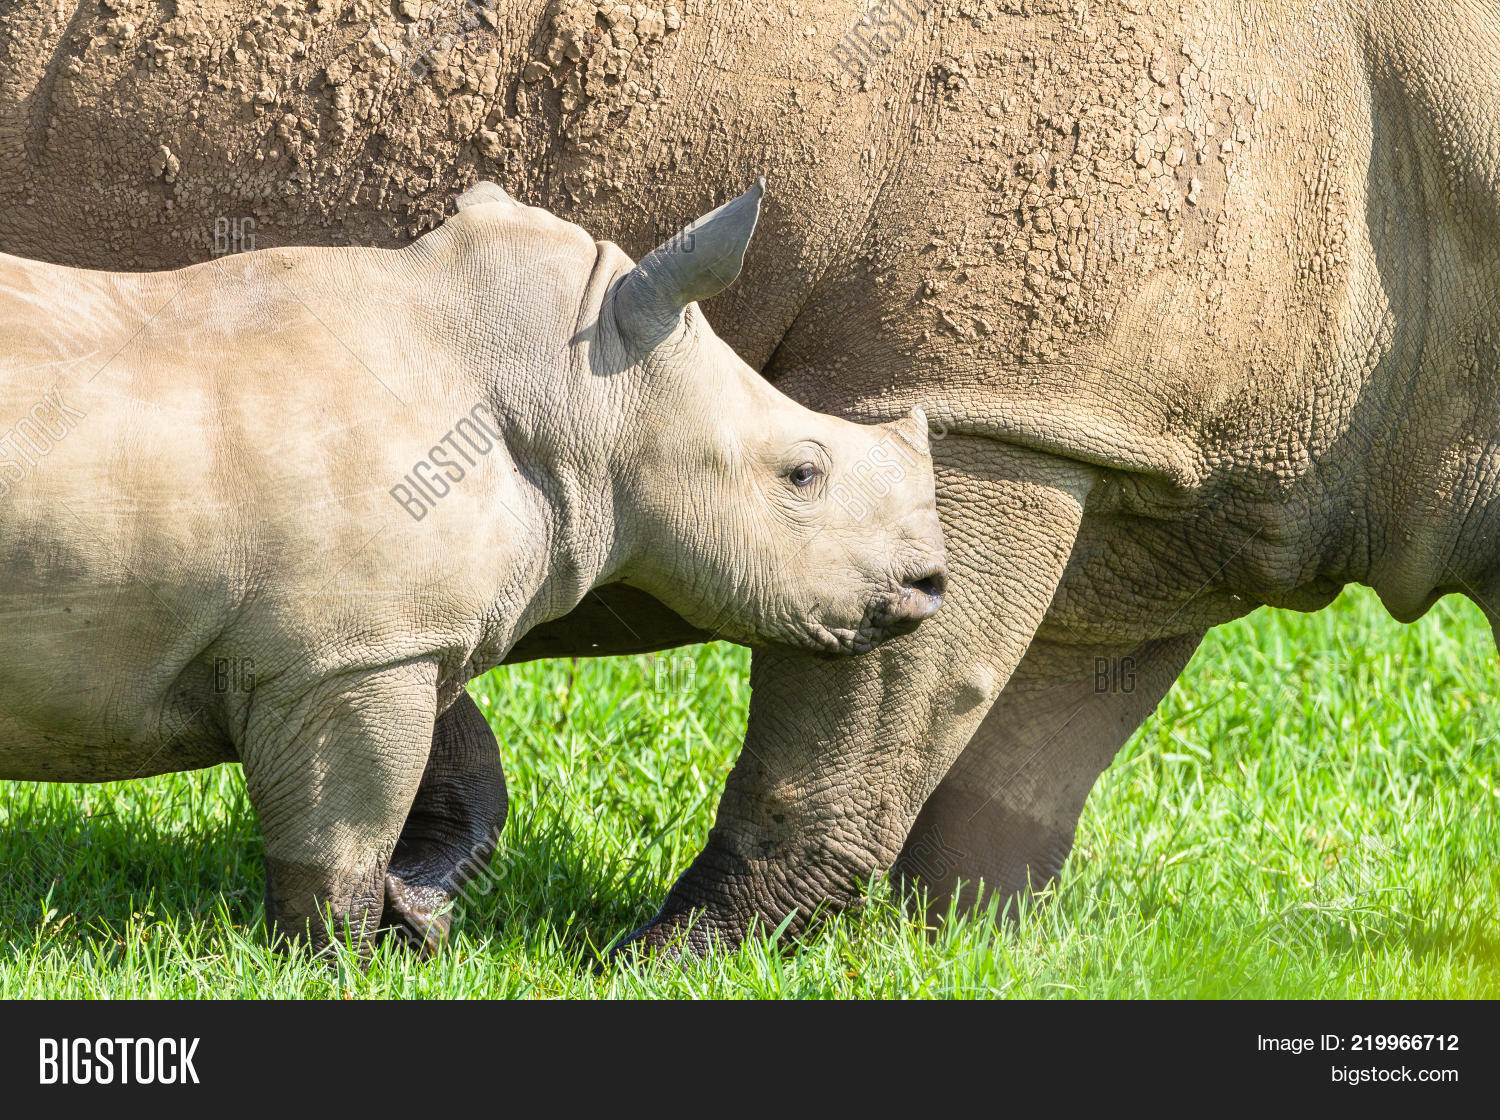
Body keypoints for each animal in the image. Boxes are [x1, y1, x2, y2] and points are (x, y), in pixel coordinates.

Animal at [0, 179, 946, 949]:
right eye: (802, 475)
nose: (931, 587)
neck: (584, 388)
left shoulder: (392, 636)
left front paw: (416, 924)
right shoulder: (348, 656)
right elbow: (338, 845)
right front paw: (335, 962)